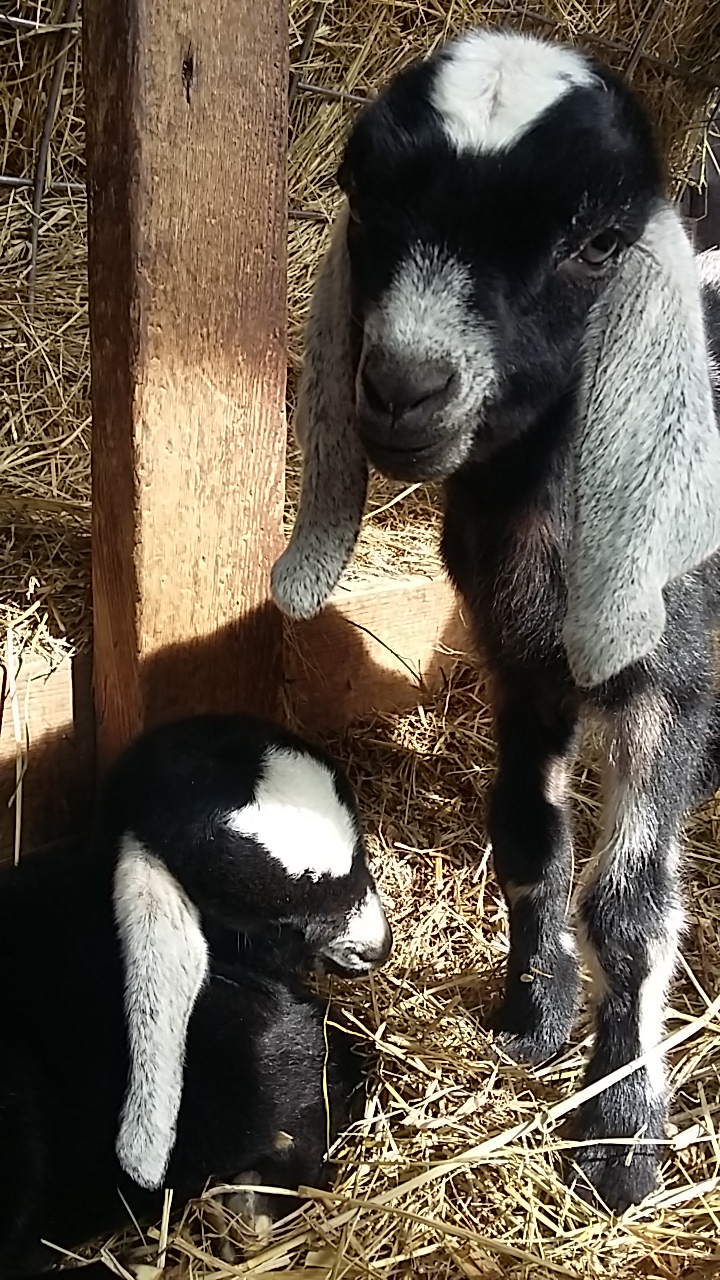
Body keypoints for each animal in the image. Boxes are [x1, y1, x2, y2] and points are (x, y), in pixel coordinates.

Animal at [270, 26, 720, 1211]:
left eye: (599, 242)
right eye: (363, 195)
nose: (403, 386)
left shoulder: (673, 681)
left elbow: (630, 902)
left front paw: (620, 1130)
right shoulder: (522, 664)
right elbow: (525, 831)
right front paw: (533, 1015)